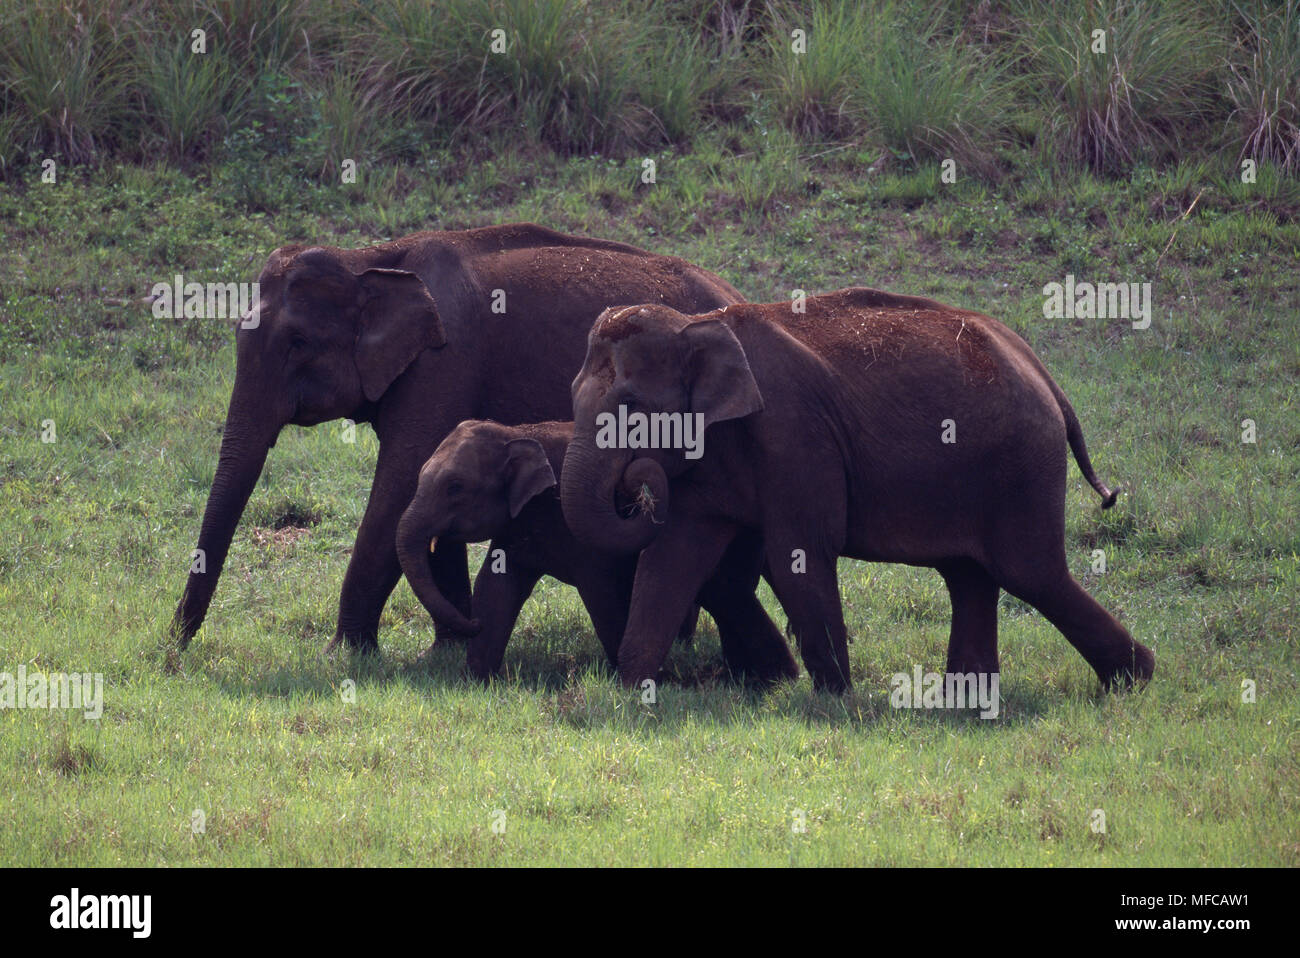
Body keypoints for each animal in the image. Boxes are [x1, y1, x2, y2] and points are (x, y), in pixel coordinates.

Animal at [171, 223, 746, 653]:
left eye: (297, 342)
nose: (174, 648)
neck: (368, 258)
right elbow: (424, 482)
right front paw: (446, 648)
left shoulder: (445, 361)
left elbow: (400, 483)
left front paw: (344, 655)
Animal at [395, 419, 799, 683]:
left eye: (455, 487)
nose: (470, 624)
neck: (517, 432)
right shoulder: (518, 525)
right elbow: (497, 587)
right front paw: (477, 679)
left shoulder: (577, 530)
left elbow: (601, 594)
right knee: (726, 592)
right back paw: (775, 678)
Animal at [560, 287, 1156, 694]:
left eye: (632, 408)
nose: (636, 479)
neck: (699, 325)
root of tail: (1041, 367)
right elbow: (672, 558)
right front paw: (632, 691)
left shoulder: (793, 433)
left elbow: (799, 553)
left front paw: (834, 700)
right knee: (971, 576)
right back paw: (967, 700)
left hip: (1020, 465)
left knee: (1029, 573)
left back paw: (1133, 681)